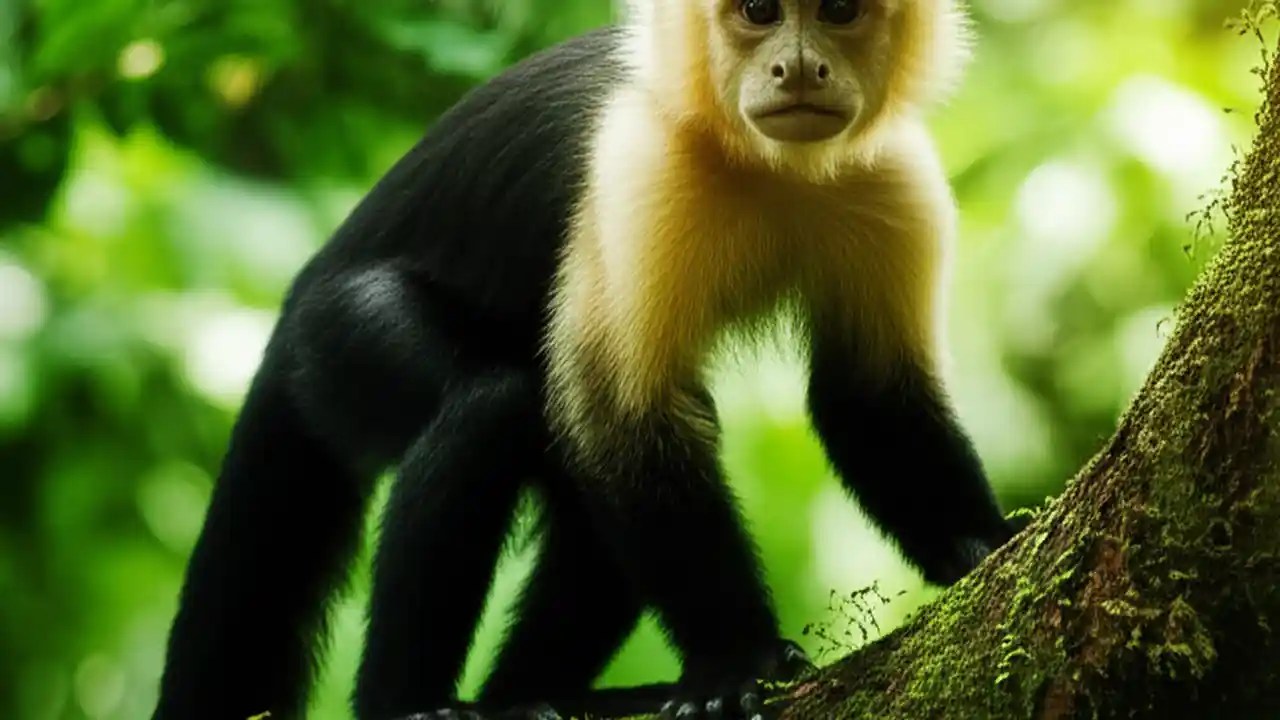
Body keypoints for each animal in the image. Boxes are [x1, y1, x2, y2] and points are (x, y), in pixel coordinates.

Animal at [150, 1, 1023, 719]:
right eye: (759, 10)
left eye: (839, 9)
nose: (798, 67)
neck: (767, 163)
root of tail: (297, 298)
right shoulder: (641, 167)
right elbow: (619, 420)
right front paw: (736, 666)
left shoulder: (893, 181)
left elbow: (867, 402)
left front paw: (982, 548)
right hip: (333, 342)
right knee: (495, 406)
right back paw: (410, 705)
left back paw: (528, 699)